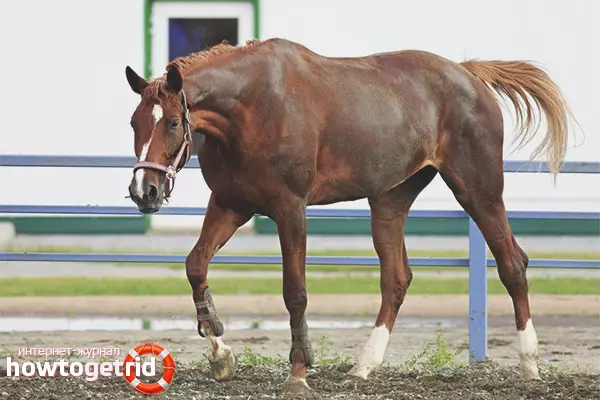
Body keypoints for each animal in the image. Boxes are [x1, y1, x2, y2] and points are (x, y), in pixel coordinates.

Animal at [124, 37, 580, 394]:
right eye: (134, 122)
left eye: (172, 122)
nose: (144, 191)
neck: (252, 105)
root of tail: (469, 75)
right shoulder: (230, 204)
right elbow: (195, 265)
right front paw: (221, 354)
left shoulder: (290, 208)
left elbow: (295, 291)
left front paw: (298, 372)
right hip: (390, 201)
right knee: (396, 279)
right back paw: (363, 367)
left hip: (479, 192)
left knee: (512, 264)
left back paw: (530, 365)